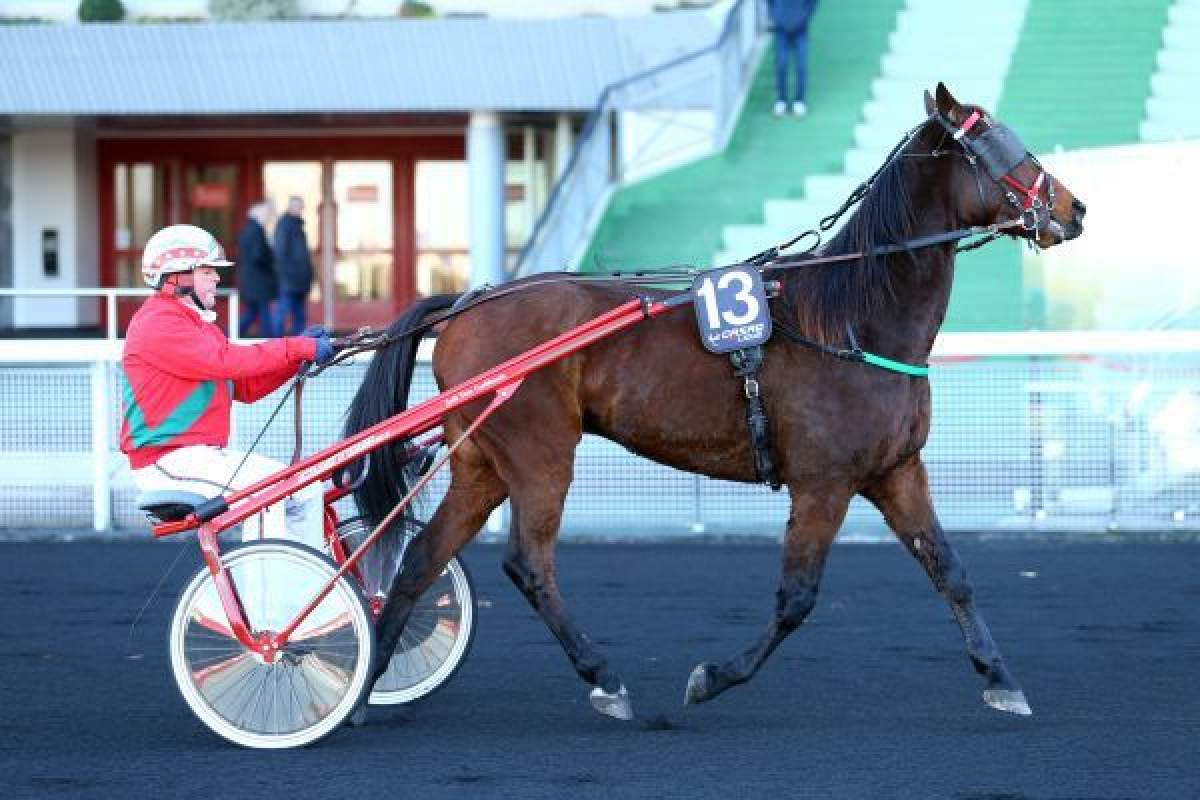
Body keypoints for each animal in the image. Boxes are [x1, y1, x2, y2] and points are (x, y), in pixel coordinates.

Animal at [344, 83, 1087, 722]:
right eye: (995, 143)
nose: (1073, 209)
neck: (853, 320)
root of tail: (468, 303)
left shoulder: (896, 470)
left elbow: (949, 570)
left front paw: (1001, 678)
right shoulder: (824, 482)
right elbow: (798, 597)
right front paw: (713, 677)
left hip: (481, 462)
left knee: (420, 557)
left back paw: (367, 686)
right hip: (539, 455)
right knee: (529, 563)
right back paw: (602, 676)